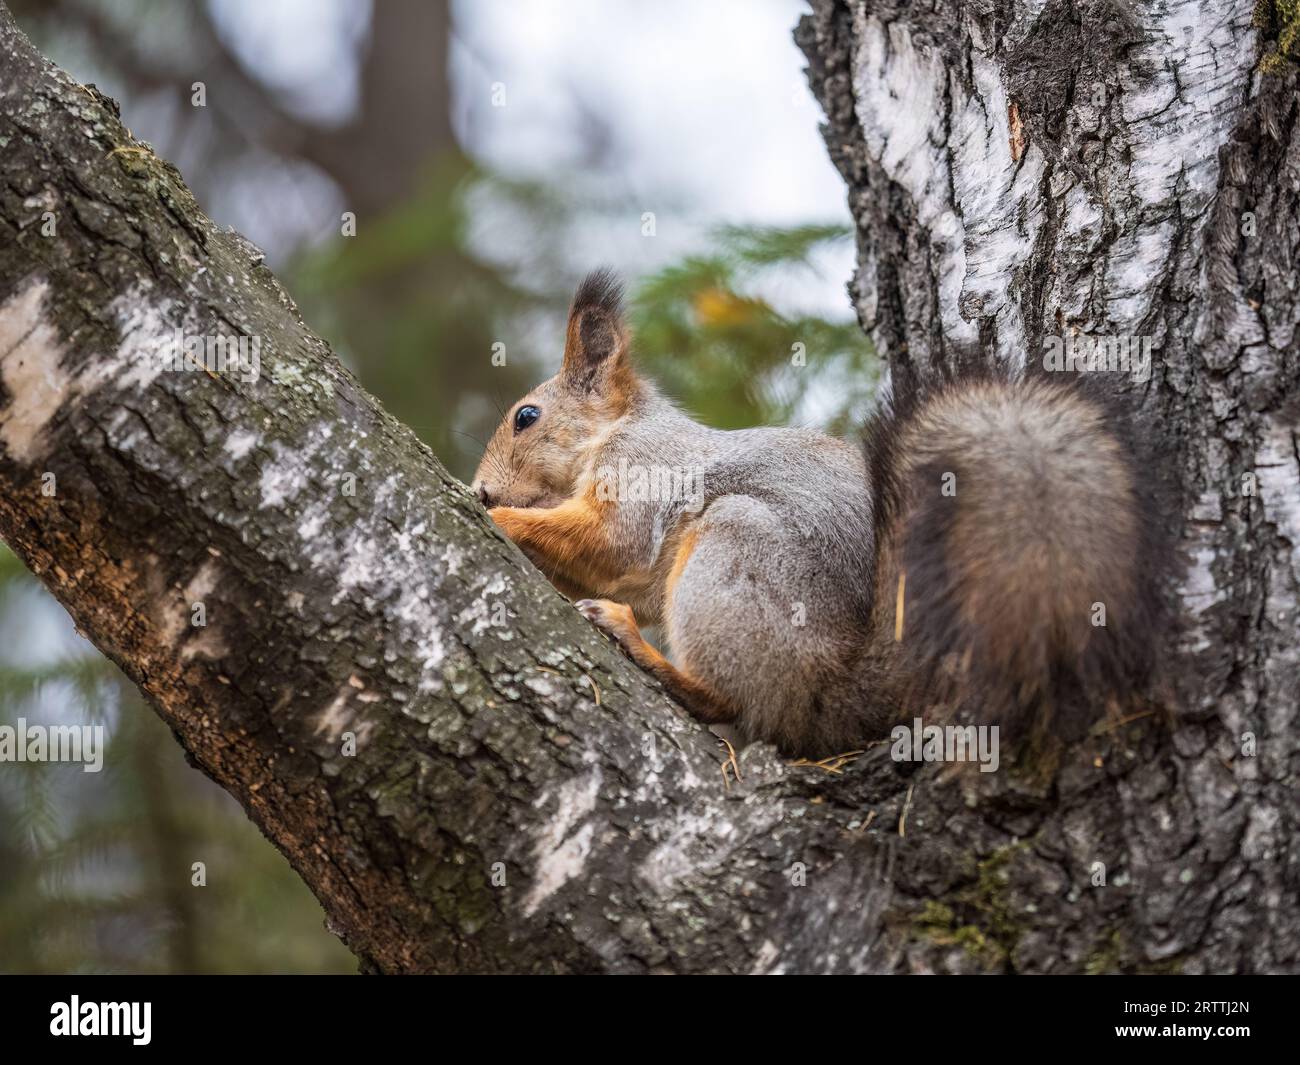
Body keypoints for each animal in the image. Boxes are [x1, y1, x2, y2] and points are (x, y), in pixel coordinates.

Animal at [472, 269, 1166, 758]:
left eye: (526, 416)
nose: (481, 490)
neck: (614, 432)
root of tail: (836, 684)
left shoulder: (646, 471)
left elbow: (610, 539)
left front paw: (501, 521)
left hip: (734, 552)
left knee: (733, 700)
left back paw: (639, 646)